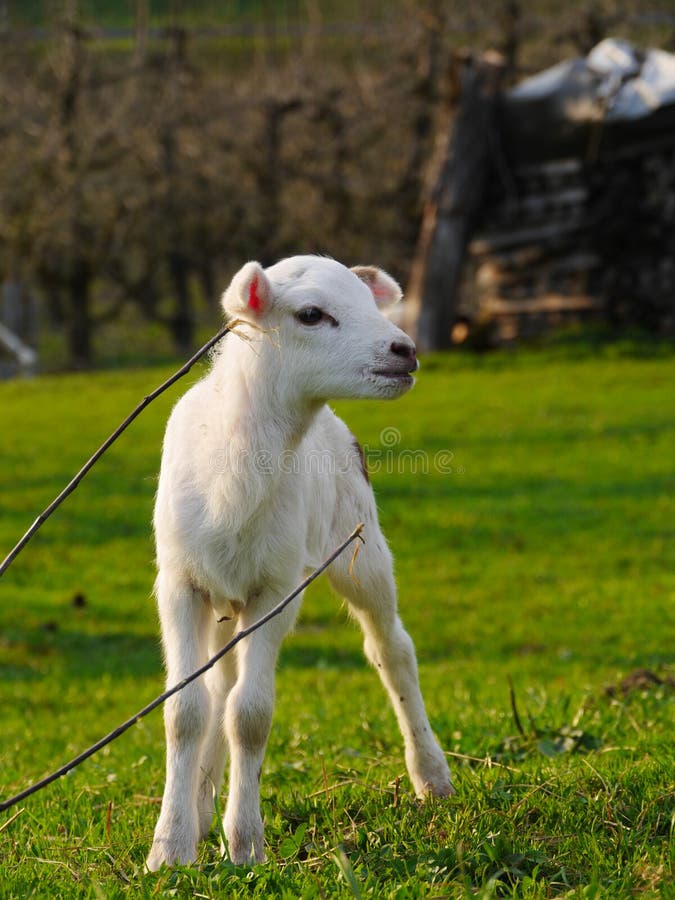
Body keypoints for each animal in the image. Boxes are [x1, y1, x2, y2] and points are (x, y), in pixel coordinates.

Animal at [146, 256, 453, 871]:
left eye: (366, 299)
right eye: (311, 314)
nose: (405, 349)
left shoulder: (278, 587)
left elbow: (250, 715)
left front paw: (245, 844)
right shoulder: (180, 582)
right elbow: (186, 708)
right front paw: (170, 847)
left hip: (361, 543)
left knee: (391, 649)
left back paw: (431, 775)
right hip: (227, 596)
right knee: (219, 684)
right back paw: (201, 804)